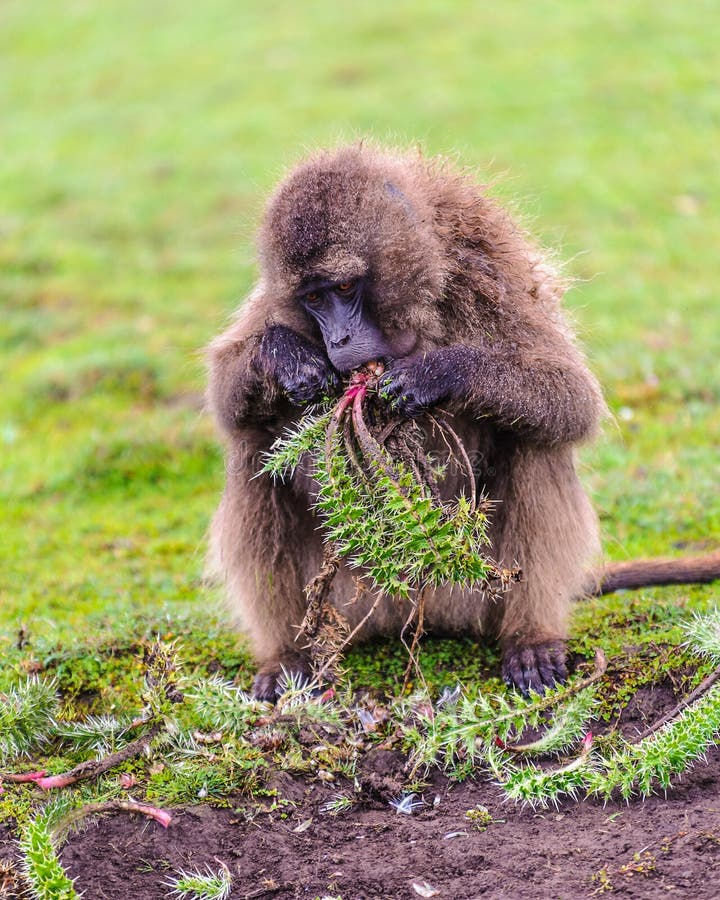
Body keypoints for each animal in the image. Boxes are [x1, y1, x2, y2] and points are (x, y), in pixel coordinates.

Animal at [206, 144, 720, 699]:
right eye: (314, 299)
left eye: (344, 286)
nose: (338, 342)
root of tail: (414, 607)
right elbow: (226, 402)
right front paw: (288, 357)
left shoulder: (488, 266)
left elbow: (572, 398)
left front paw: (440, 374)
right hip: (351, 596)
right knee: (254, 448)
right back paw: (290, 657)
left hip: (475, 591)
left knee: (536, 444)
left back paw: (530, 640)